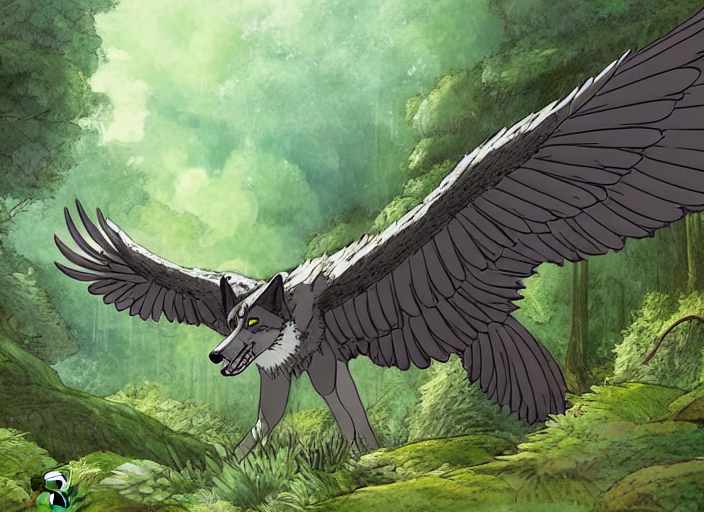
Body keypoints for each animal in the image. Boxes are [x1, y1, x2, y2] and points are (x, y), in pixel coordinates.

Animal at [56, 8, 704, 461]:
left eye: (255, 321)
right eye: (230, 320)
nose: (216, 354)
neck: (295, 312)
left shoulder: (321, 354)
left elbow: (346, 411)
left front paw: (366, 461)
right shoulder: (280, 368)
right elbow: (267, 421)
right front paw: (232, 463)